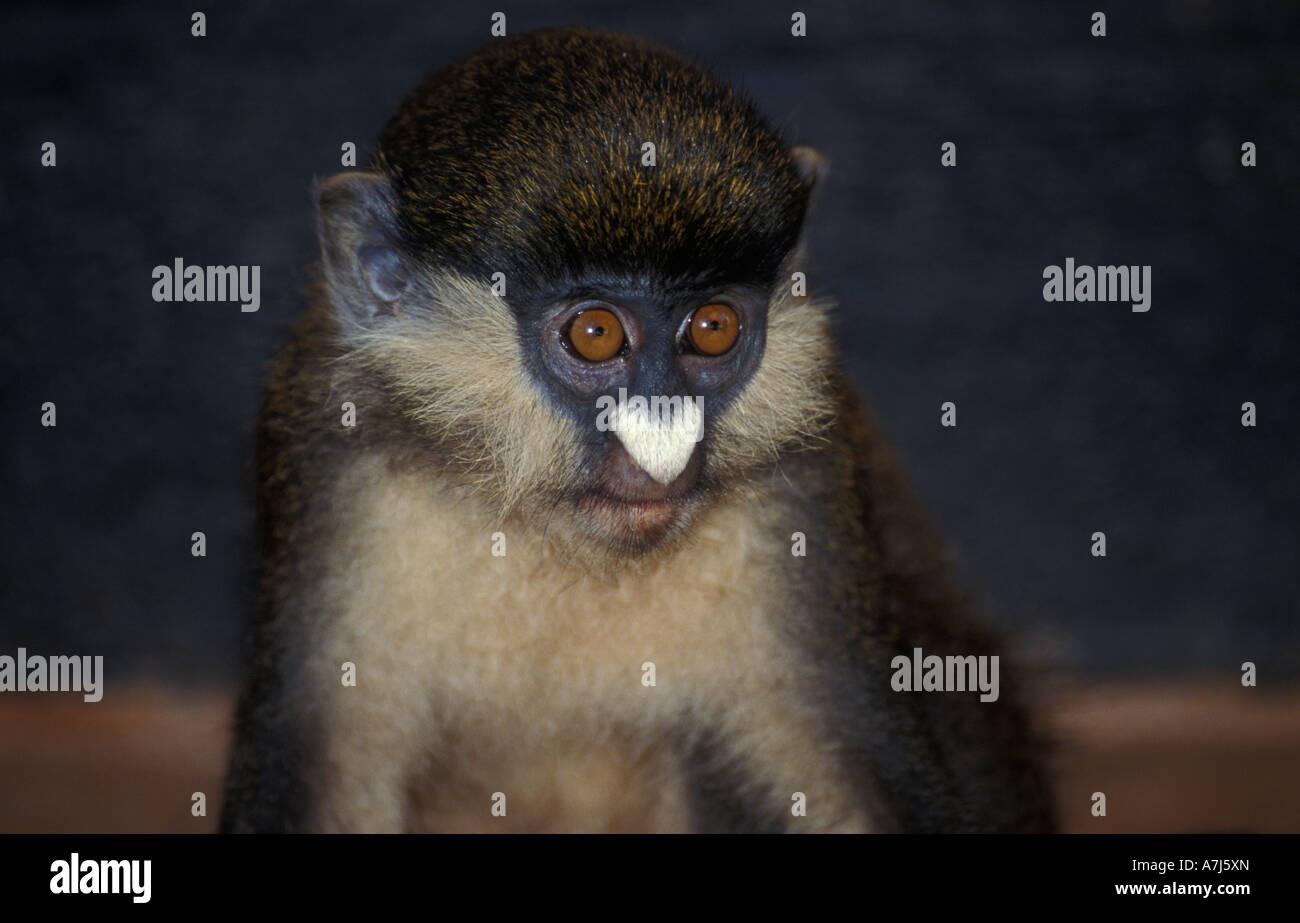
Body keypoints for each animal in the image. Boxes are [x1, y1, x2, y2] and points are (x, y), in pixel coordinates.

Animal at [221, 27, 1054, 833]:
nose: (663, 454)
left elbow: (857, 778)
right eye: (595, 334)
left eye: (713, 328)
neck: (557, 542)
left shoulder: (806, 483)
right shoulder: (328, 452)